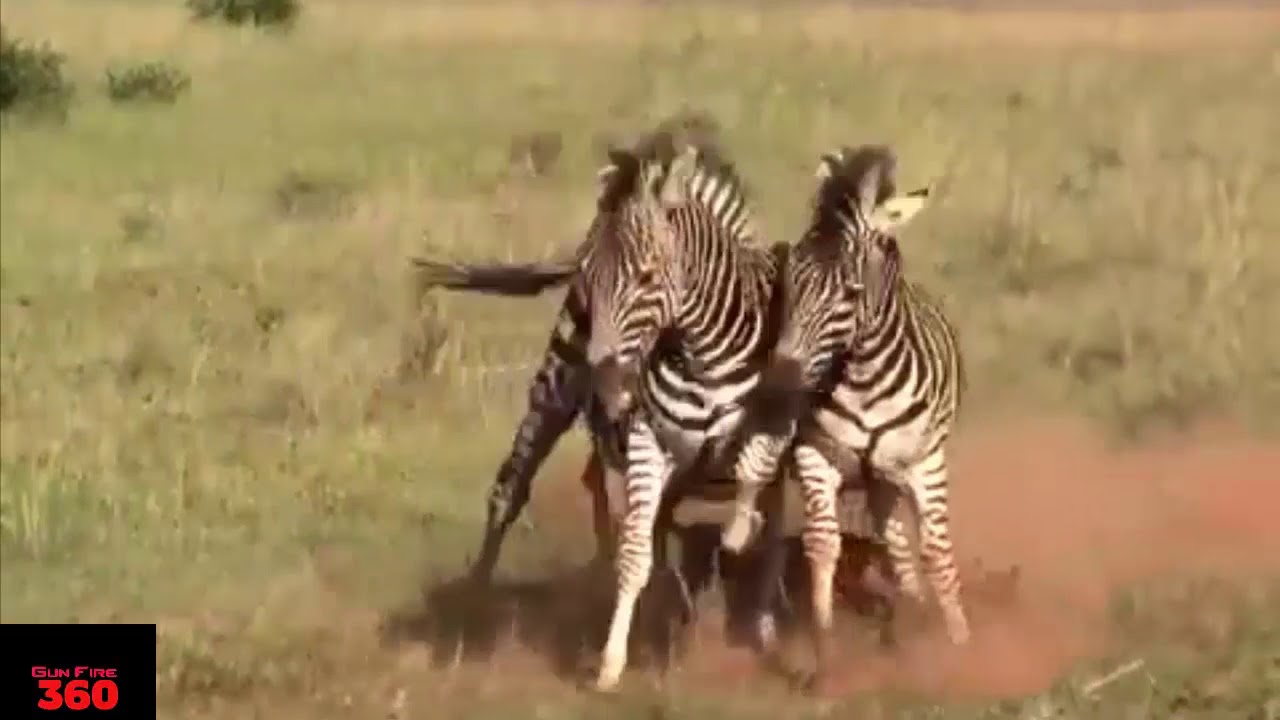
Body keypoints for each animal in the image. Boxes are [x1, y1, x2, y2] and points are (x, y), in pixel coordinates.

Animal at [721, 145, 970, 692]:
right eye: (790, 282)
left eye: (851, 293)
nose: (779, 383)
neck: (864, 378)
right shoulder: (818, 454)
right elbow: (822, 545)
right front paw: (824, 654)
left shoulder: (924, 463)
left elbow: (937, 552)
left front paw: (956, 642)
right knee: (771, 542)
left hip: (889, 476)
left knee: (898, 540)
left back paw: (914, 609)